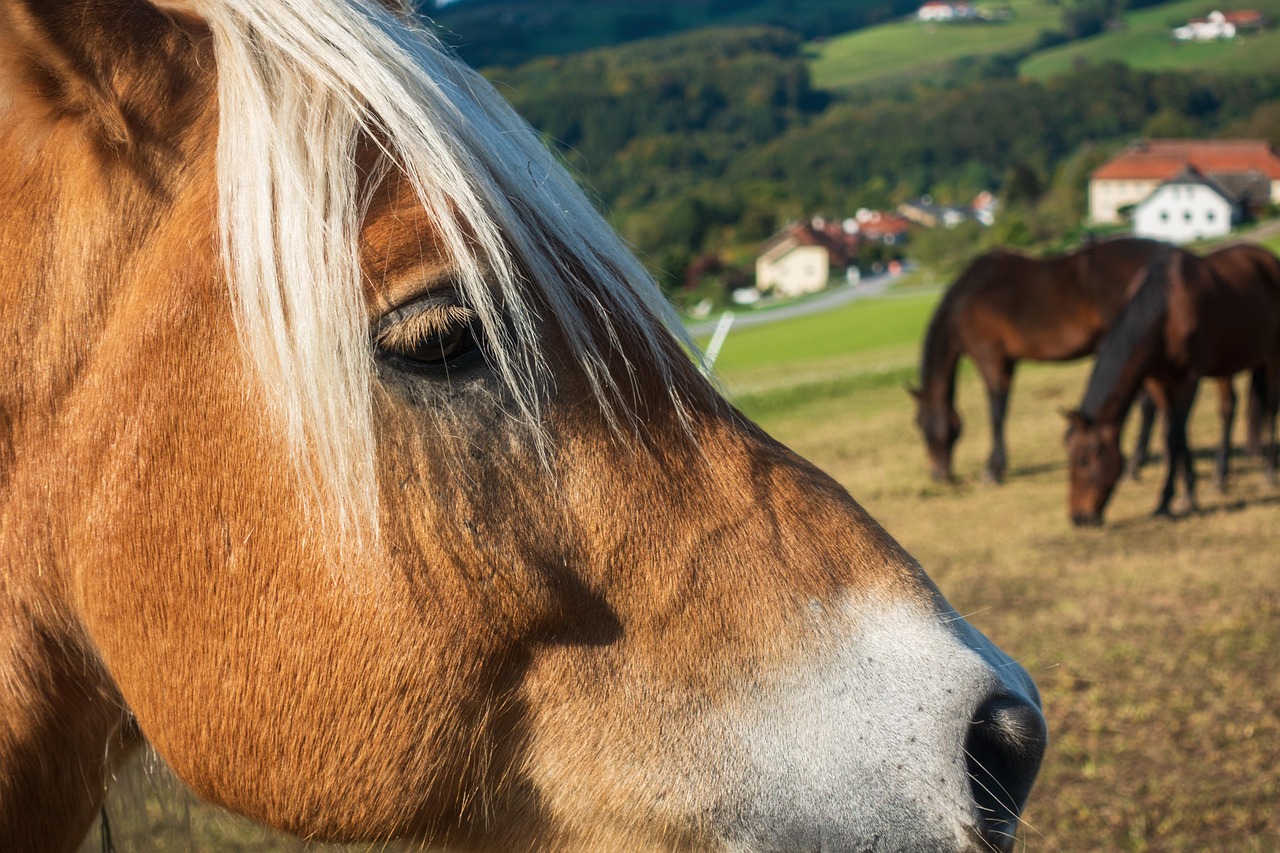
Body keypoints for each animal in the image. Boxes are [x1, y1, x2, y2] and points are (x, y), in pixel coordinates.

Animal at [910, 237, 1240, 485]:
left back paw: (1136, 463)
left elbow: (997, 411)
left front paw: (993, 470)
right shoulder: (1008, 362)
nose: (938, 474)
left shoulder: (990, 357)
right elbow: (1003, 407)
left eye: (919, 423)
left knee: (1147, 403)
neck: (965, 298)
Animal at [1064, 244, 1280, 526]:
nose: (1079, 517)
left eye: (1084, 460)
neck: (1167, 311)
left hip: (1272, 355)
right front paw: (1188, 492)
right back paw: (1220, 478)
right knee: (1231, 408)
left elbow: (1173, 436)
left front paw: (1165, 502)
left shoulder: (1188, 379)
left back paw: (1269, 472)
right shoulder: (1158, 381)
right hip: (1230, 363)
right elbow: (1176, 433)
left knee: (1271, 408)